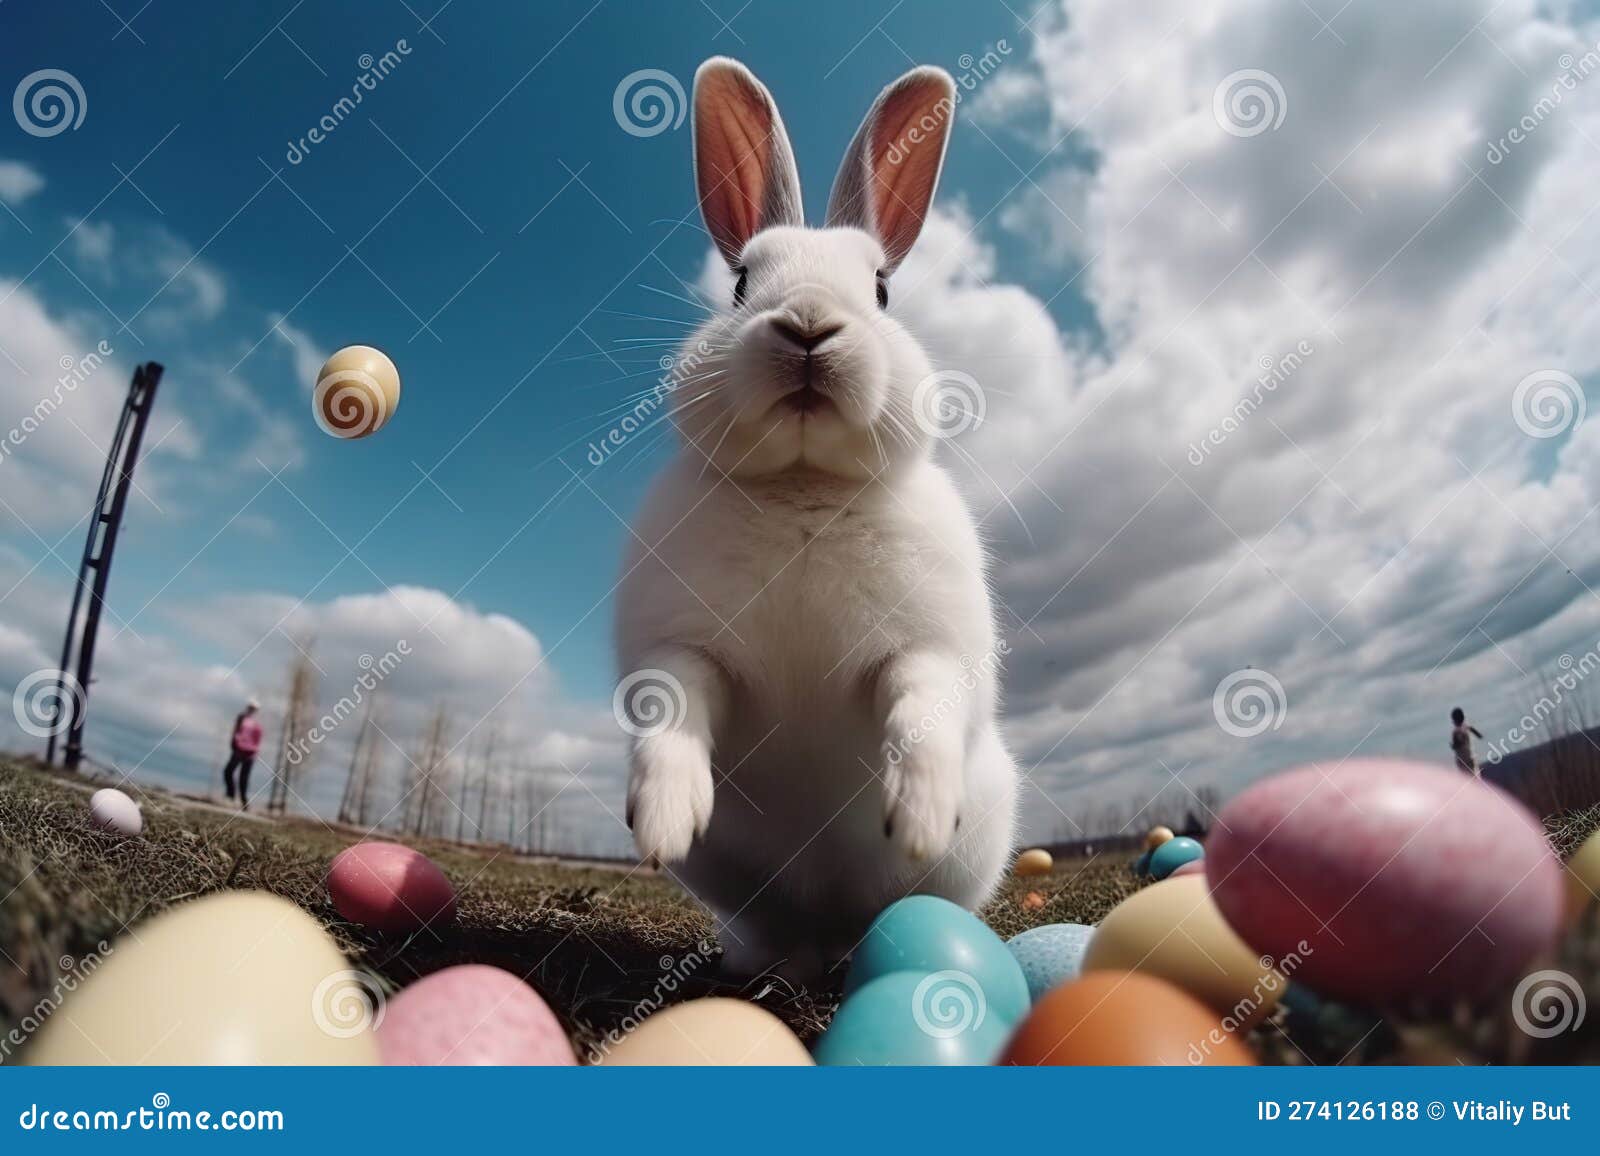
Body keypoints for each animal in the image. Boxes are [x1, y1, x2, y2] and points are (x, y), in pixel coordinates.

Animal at [614, 57, 1019, 981]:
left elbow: (921, 704)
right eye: (739, 284)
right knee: (781, 932)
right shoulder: (679, 649)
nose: (806, 325)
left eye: (881, 289)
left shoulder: (926, 647)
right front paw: (662, 818)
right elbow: (671, 709)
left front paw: (918, 813)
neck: (802, 488)